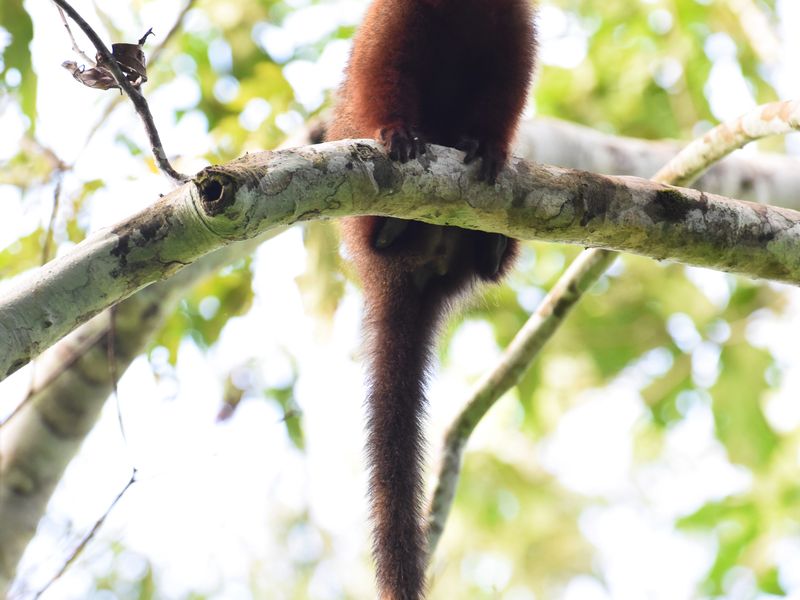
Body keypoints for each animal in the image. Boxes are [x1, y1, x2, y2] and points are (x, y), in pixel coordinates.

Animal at [326, 1, 536, 598]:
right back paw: (388, 231)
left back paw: (491, 249)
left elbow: (506, 86)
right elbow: (379, 69)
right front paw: (397, 131)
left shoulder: (515, 24)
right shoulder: (390, 18)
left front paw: (488, 145)